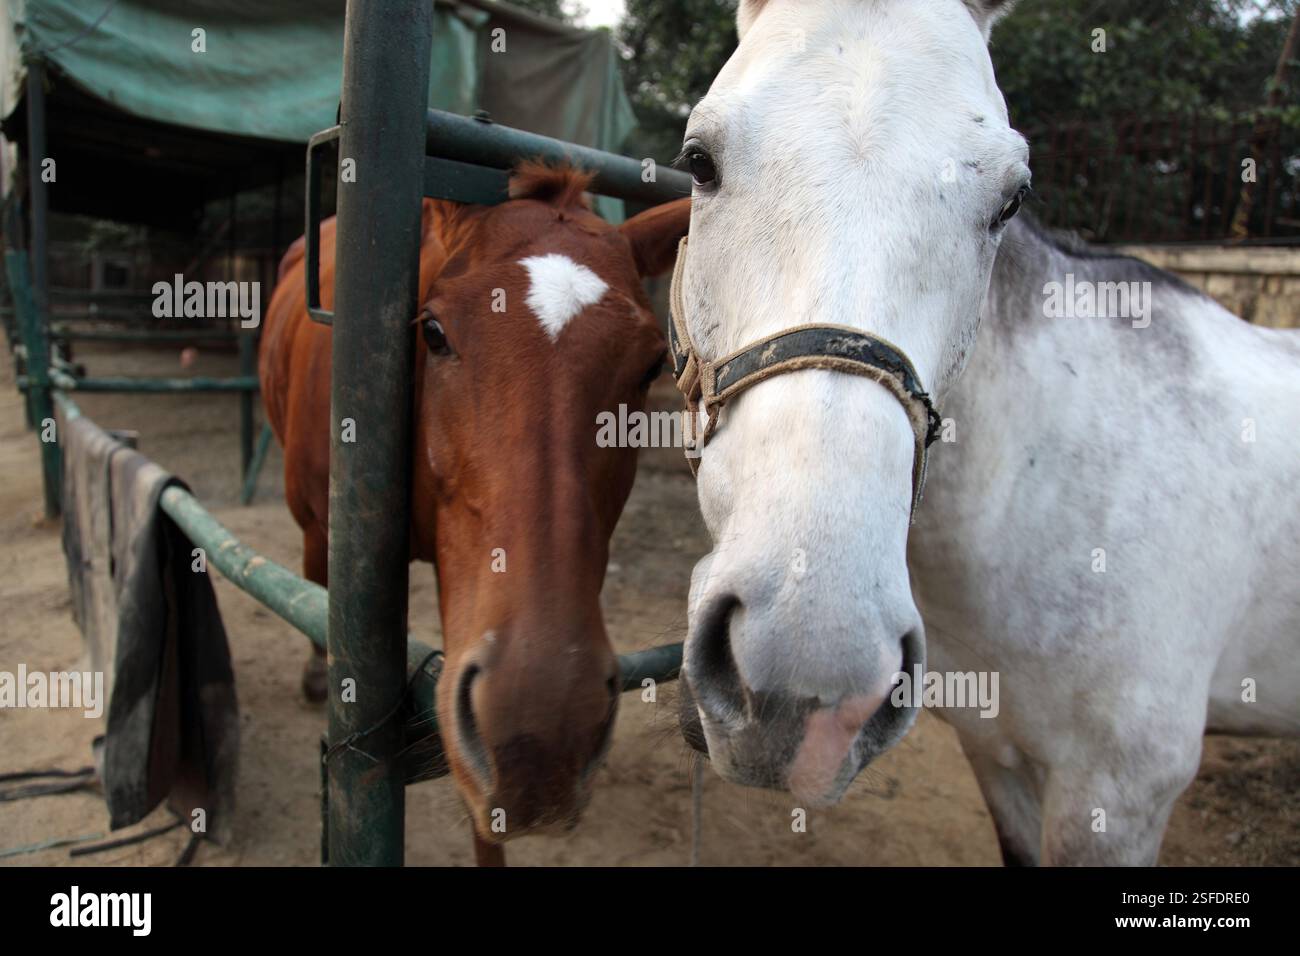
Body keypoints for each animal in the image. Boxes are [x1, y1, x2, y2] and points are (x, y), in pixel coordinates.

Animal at [669, 0, 1300, 864]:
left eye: (1011, 199)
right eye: (699, 161)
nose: (810, 664)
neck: (1045, 492)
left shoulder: (1121, 798)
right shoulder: (994, 755)